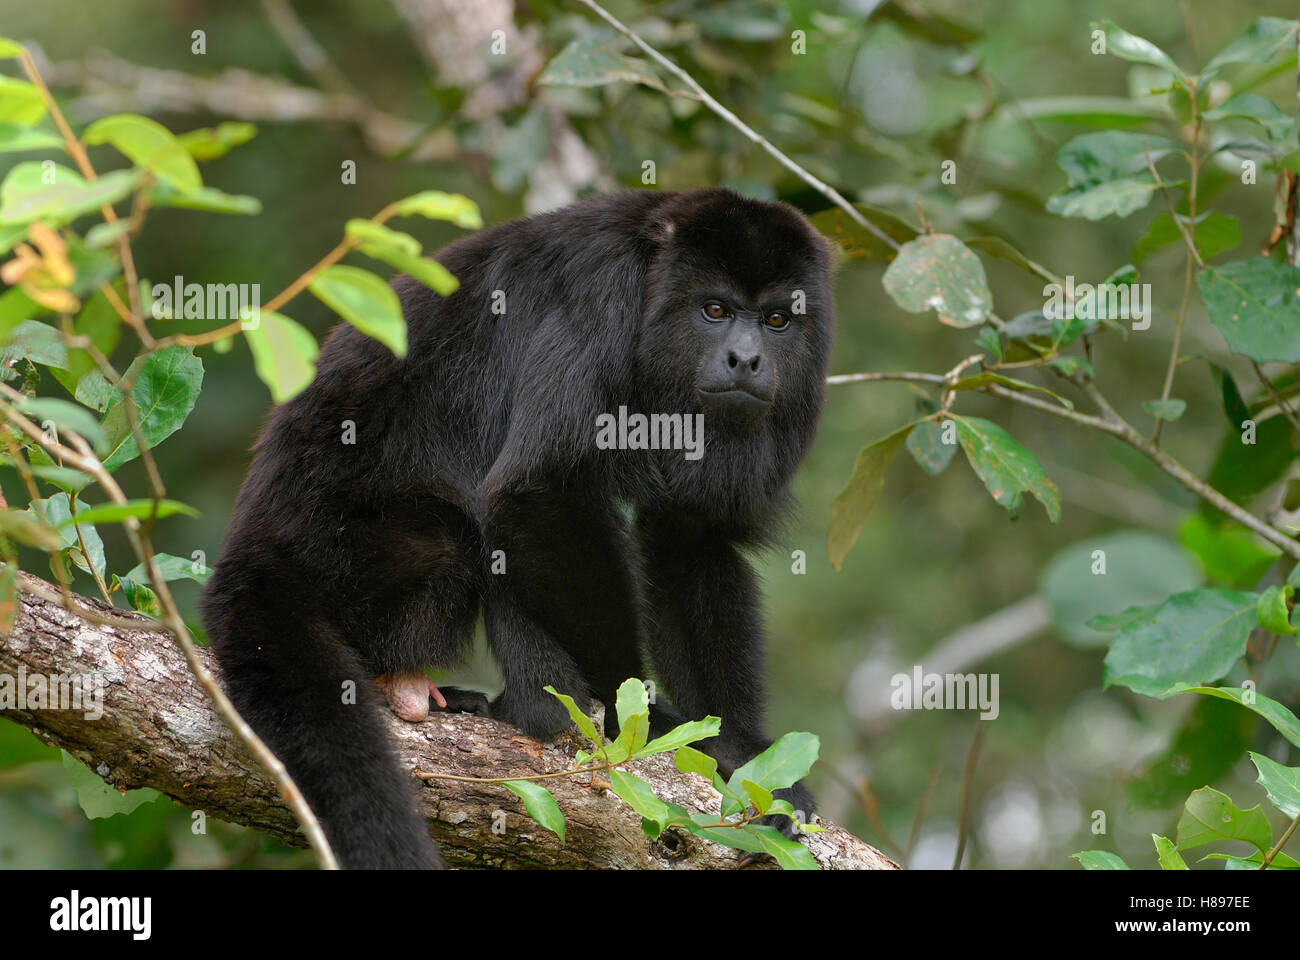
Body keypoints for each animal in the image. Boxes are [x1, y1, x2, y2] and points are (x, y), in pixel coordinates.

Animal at [201, 187, 834, 869]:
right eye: (715, 310)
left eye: (778, 320)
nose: (746, 358)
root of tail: (252, 555)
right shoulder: (598, 298)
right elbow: (535, 490)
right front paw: (637, 715)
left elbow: (693, 536)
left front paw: (737, 751)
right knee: (468, 528)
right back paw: (527, 709)